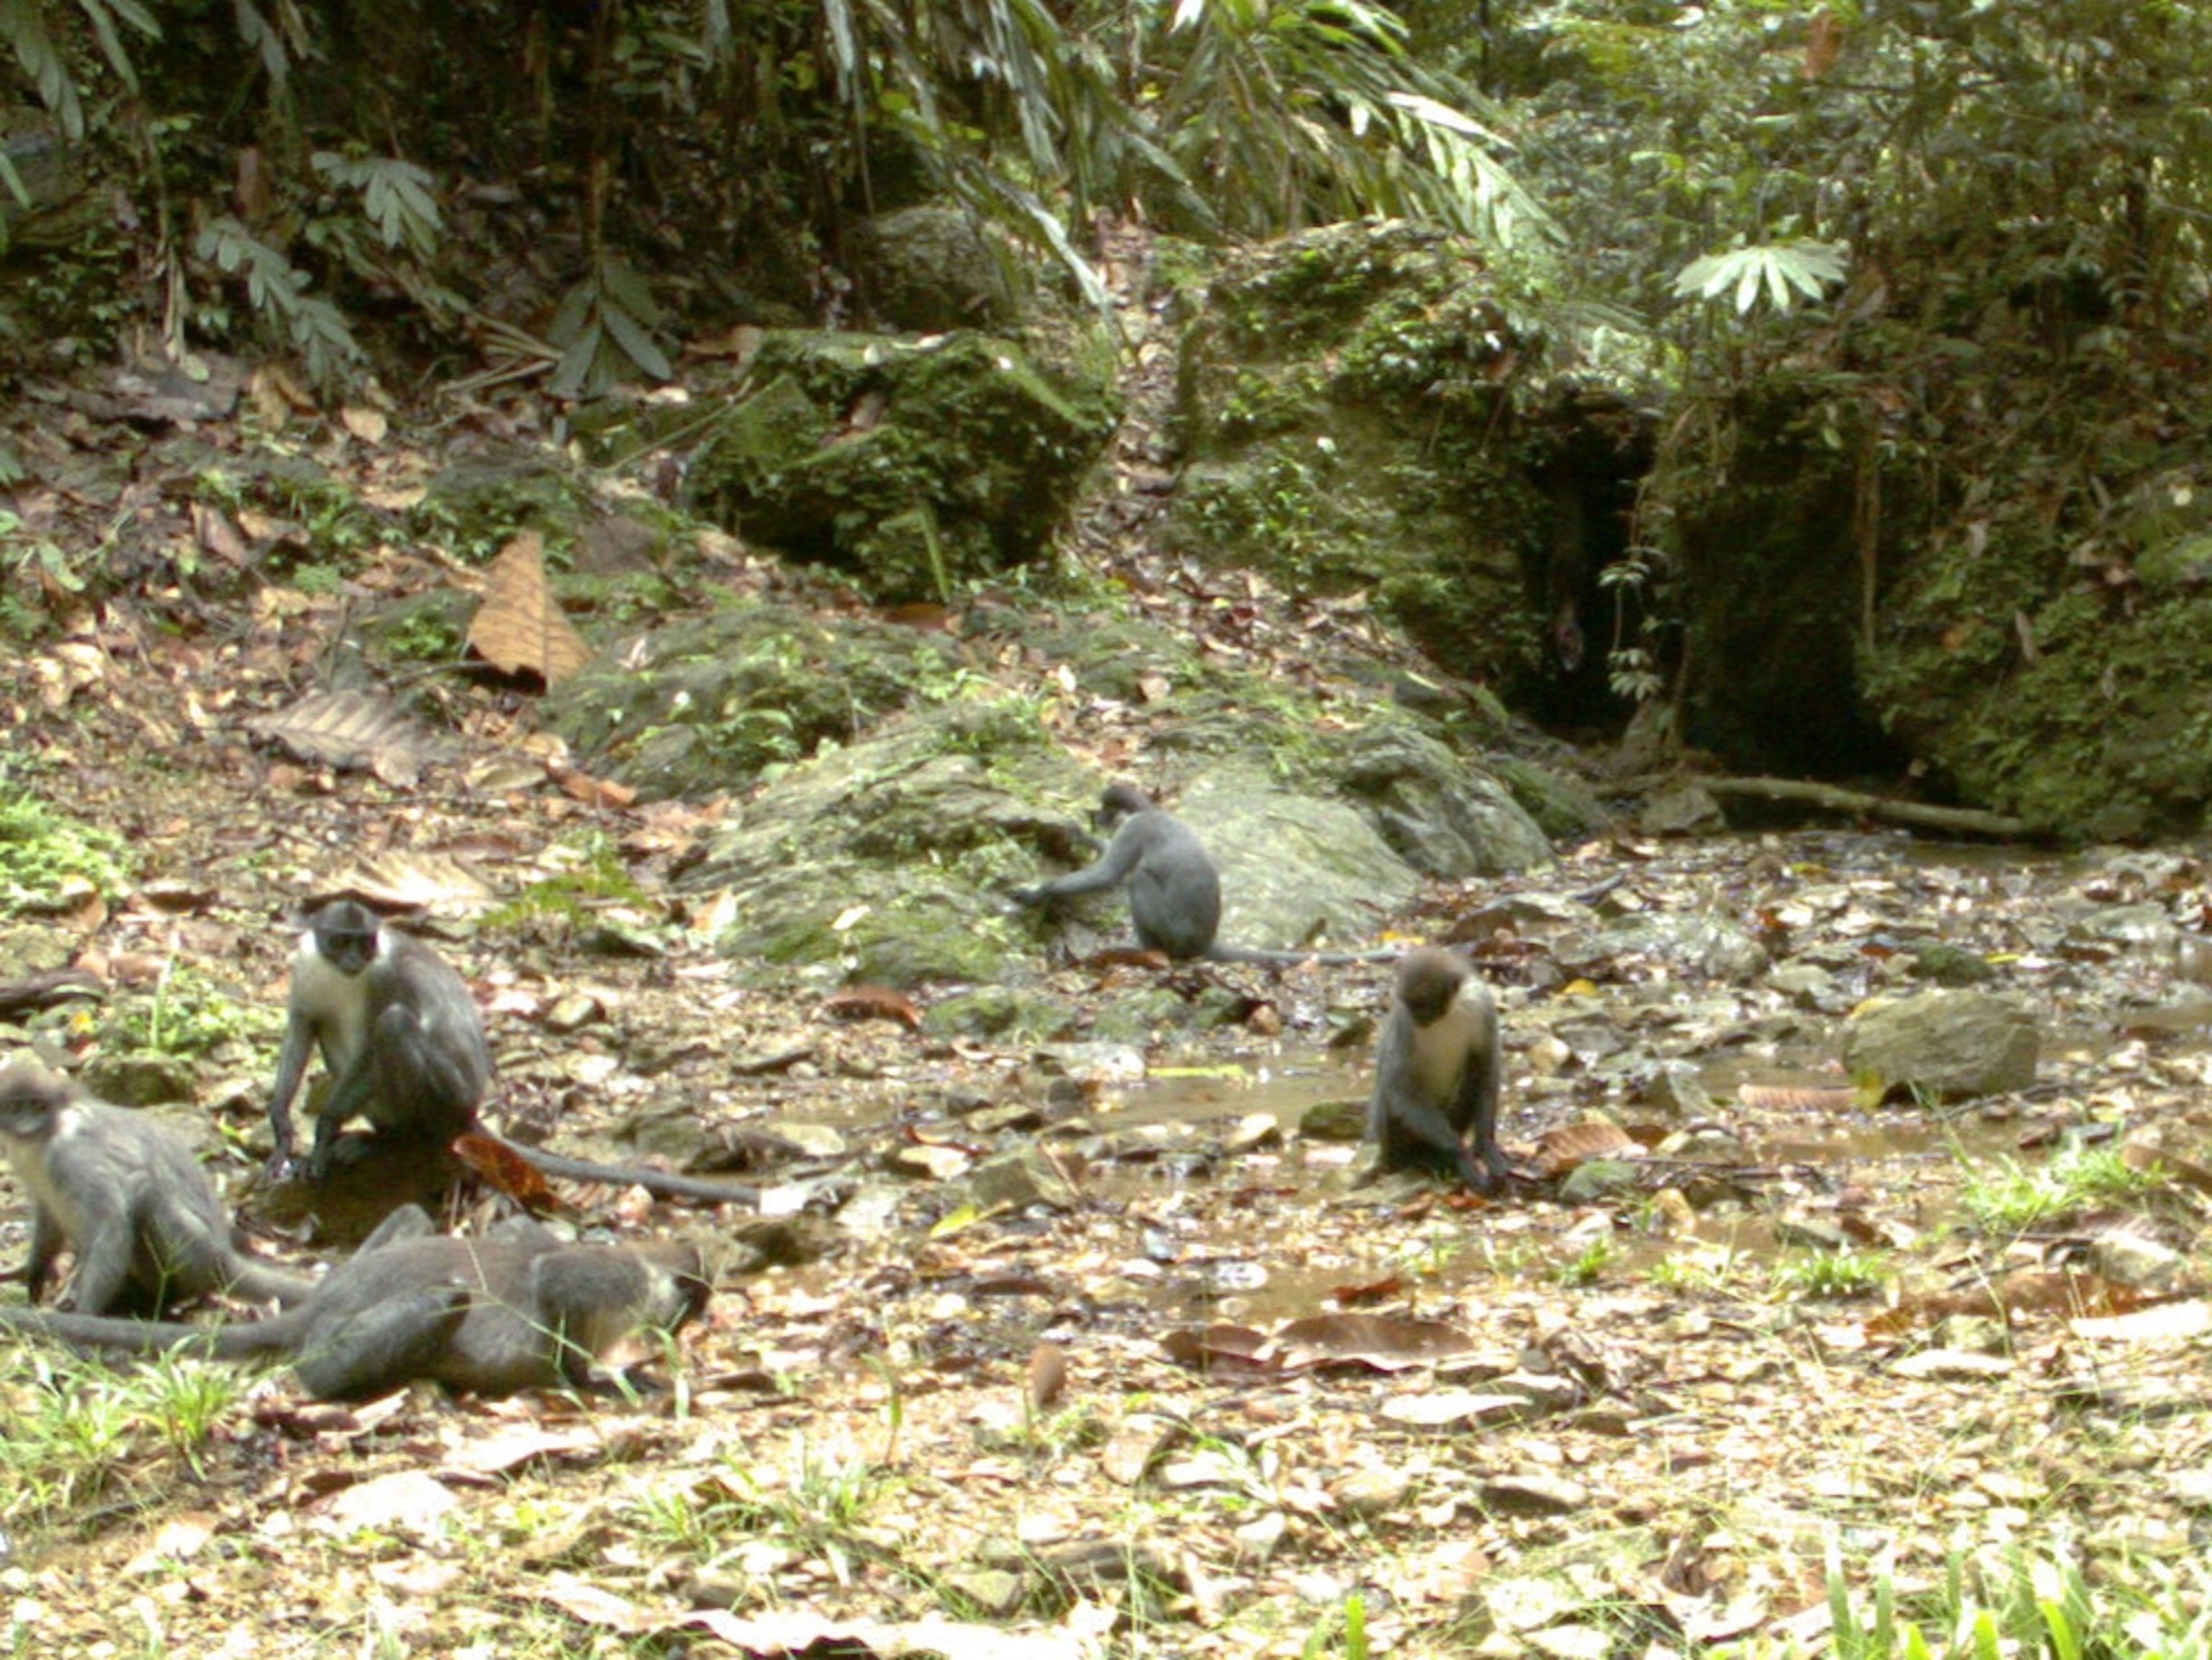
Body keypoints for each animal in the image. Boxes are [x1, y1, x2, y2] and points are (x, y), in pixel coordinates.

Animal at [0, 1061, 315, 1317]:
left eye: (39, 1107)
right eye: (15, 1108)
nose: (27, 1125)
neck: (46, 1138)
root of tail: (223, 1259)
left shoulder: (72, 1155)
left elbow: (110, 1225)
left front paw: (84, 1317)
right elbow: (48, 1220)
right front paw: (33, 1275)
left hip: (196, 1255)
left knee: (145, 1189)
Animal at [0, 1203, 710, 1401]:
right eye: (691, 1306)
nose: (689, 1327)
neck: (646, 1266)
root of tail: (322, 1306)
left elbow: (515, 1231)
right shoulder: (601, 1279)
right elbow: (549, 1280)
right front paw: (598, 1381)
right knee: (444, 1300)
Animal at [267, 899, 760, 1207]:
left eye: (363, 942)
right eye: (341, 940)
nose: (354, 959)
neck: (343, 976)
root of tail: (467, 1113)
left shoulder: (387, 977)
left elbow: (374, 1040)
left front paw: (325, 1131)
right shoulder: (307, 970)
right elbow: (303, 1027)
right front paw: (282, 1127)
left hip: (447, 1095)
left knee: (394, 1024)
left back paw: (401, 1139)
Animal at [1012, 784, 1394, 966]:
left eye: (1106, 808)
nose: (1102, 818)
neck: (1155, 810)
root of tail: (1204, 939)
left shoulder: (1139, 827)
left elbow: (1109, 873)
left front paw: (1036, 892)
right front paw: (1079, 835)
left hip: (1171, 931)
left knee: (1138, 879)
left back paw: (1148, 952)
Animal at [1365, 947, 1512, 1191]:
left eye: (1424, 1006)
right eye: (1413, 1007)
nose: (1419, 1019)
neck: (1449, 1013)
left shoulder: (1482, 1004)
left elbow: (1486, 1068)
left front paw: (1486, 1146)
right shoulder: (1404, 1021)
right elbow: (1399, 1087)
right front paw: (1461, 1155)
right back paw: (1419, 1159)